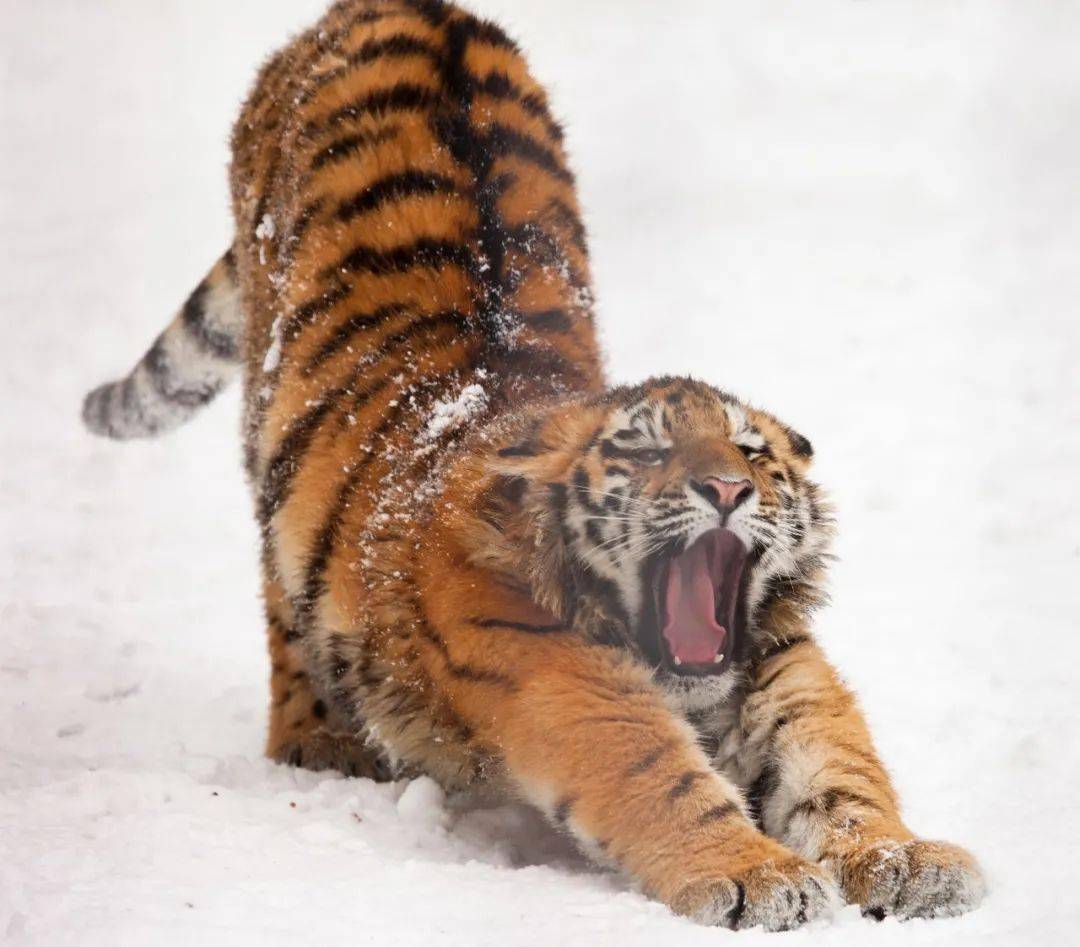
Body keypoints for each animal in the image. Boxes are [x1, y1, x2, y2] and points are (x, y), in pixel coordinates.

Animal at [81, 0, 985, 931]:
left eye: (752, 451)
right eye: (648, 447)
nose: (728, 489)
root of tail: (403, 8)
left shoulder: (782, 660)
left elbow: (839, 764)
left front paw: (903, 859)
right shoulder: (554, 671)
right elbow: (660, 772)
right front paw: (757, 874)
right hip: (271, 448)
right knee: (281, 599)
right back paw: (320, 738)